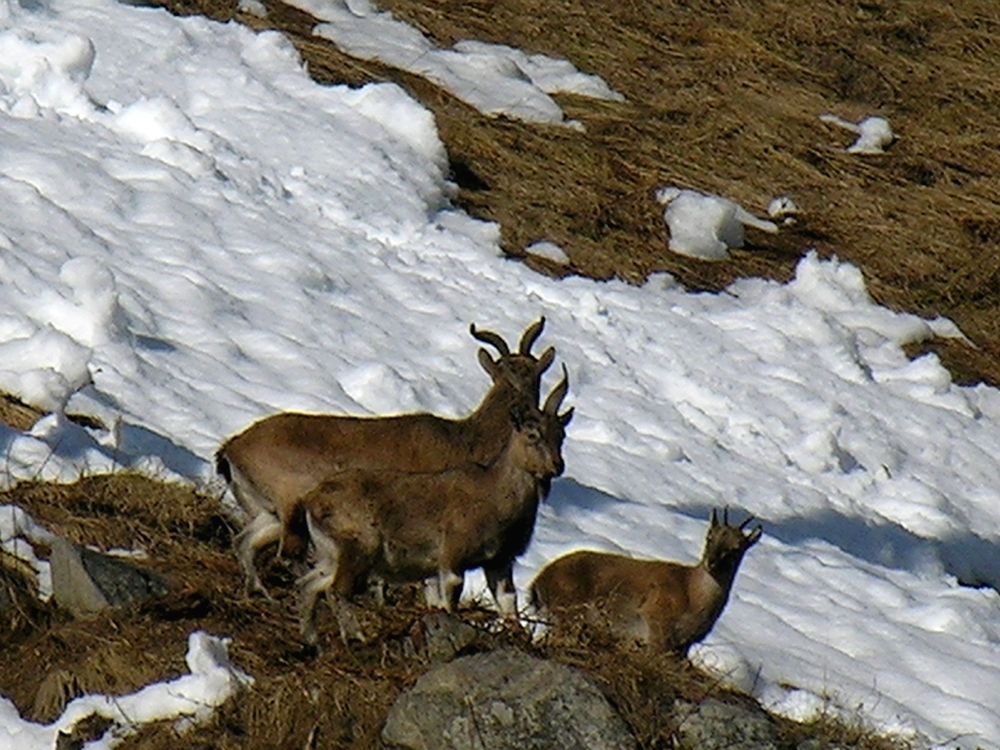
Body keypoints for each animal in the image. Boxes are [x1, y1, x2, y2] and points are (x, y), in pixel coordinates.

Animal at [216, 318, 555, 596]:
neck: (465, 440)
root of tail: (233, 448)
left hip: (269, 512)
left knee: (246, 542)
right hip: (291, 505)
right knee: (290, 555)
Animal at [295, 375, 574, 644]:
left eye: (561, 435)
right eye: (532, 435)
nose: (557, 465)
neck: (495, 495)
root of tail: (313, 498)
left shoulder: (499, 560)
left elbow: (508, 601)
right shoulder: (452, 554)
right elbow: (449, 599)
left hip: (330, 553)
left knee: (309, 584)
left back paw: (310, 639)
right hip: (358, 546)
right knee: (336, 590)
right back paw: (356, 637)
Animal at [529, 508, 762, 656]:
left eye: (736, 548)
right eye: (709, 537)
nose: (711, 563)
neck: (692, 595)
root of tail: (540, 580)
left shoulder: (683, 645)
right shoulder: (657, 624)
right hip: (570, 614)